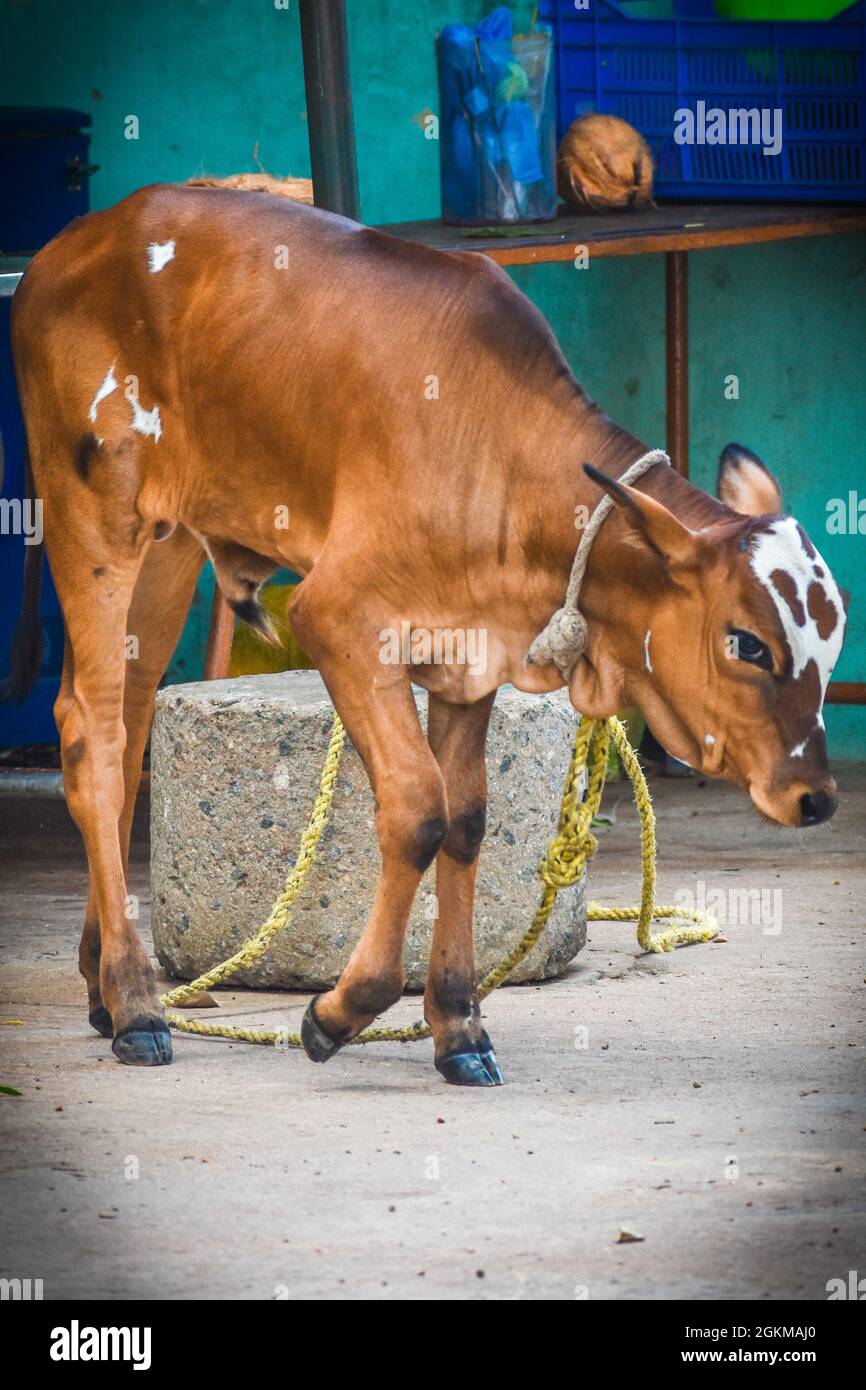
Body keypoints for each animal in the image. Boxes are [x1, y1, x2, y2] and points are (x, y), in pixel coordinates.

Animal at [2, 185, 846, 1085]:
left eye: (830, 646)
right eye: (748, 643)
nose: (817, 798)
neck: (504, 455)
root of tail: (77, 240)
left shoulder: (466, 656)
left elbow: (467, 820)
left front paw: (458, 1024)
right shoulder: (339, 618)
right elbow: (416, 810)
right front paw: (341, 1010)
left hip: (167, 546)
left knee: (127, 727)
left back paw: (103, 982)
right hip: (95, 519)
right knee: (91, 735)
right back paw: (135, 1005)